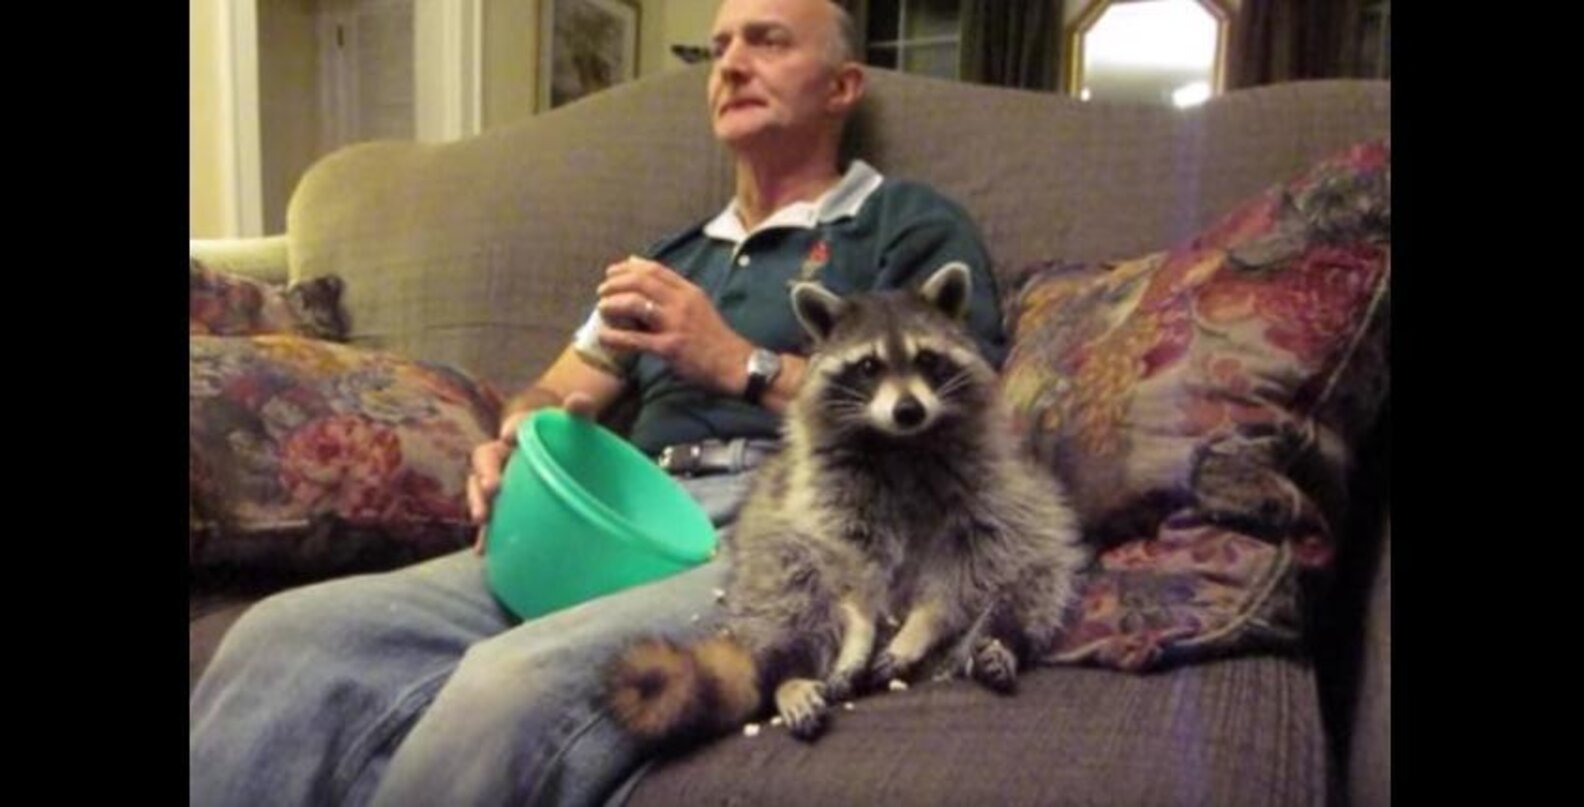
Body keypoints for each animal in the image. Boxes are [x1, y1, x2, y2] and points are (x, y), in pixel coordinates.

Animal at [607, 262, 1088, 744]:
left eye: (926, 360)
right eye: (869, 366)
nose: (909, 410)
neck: (899, 442)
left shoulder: (983, 494)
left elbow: (968, 568)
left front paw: (924, 623)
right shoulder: (831, 503)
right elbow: (848, 574)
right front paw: (858, 629)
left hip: (1034, 537)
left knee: (1037, 575)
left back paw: (1000, 642)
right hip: (768, 568)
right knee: (787, 596)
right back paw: (790, 676)